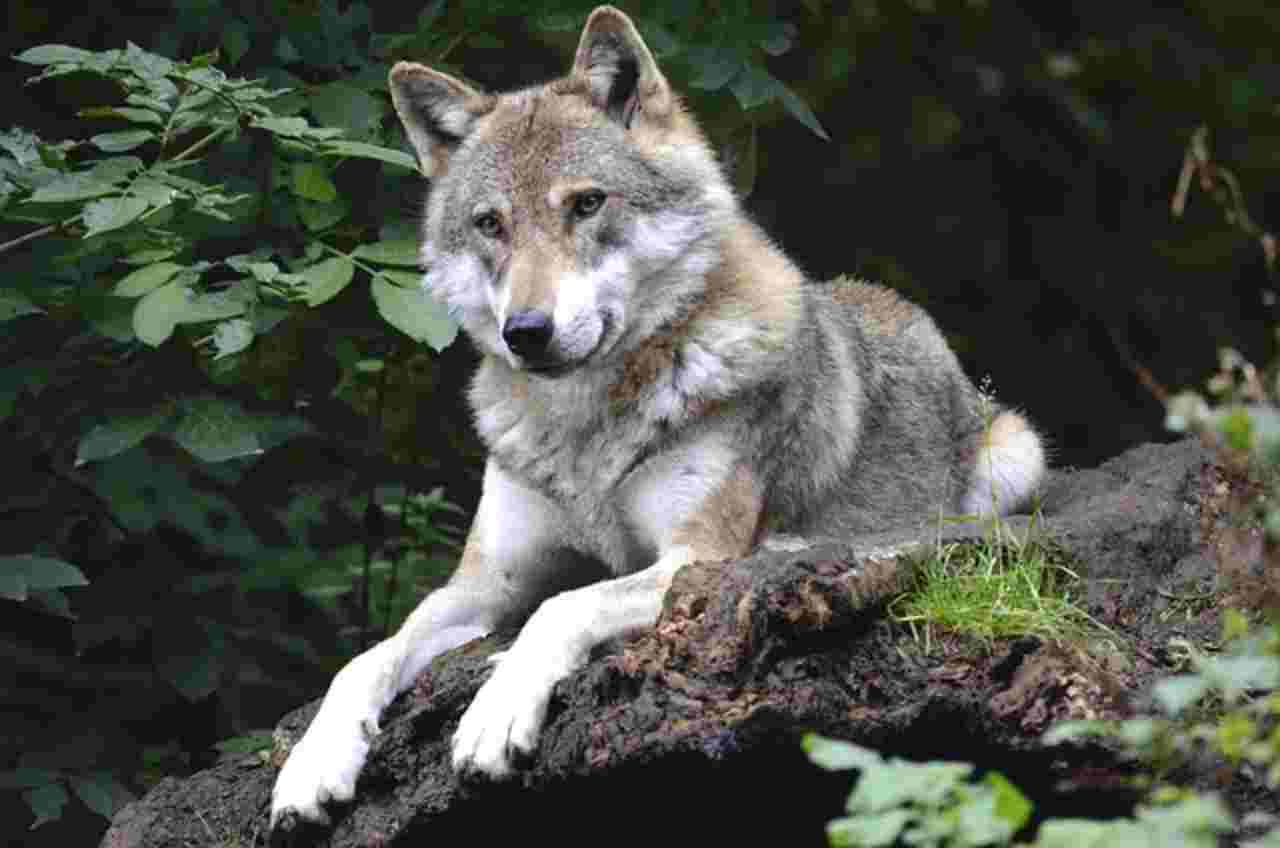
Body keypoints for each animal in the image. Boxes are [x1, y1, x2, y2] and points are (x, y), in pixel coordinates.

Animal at [269, 4, 1046, 829]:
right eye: (490, 224)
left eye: (586, 203)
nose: (526, 331)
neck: (585, 432)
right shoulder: (482, 586)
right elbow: (365, 658)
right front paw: (312, 765)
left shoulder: (688, 559)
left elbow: (563, 606)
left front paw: (494, 713)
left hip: (1013, 458)